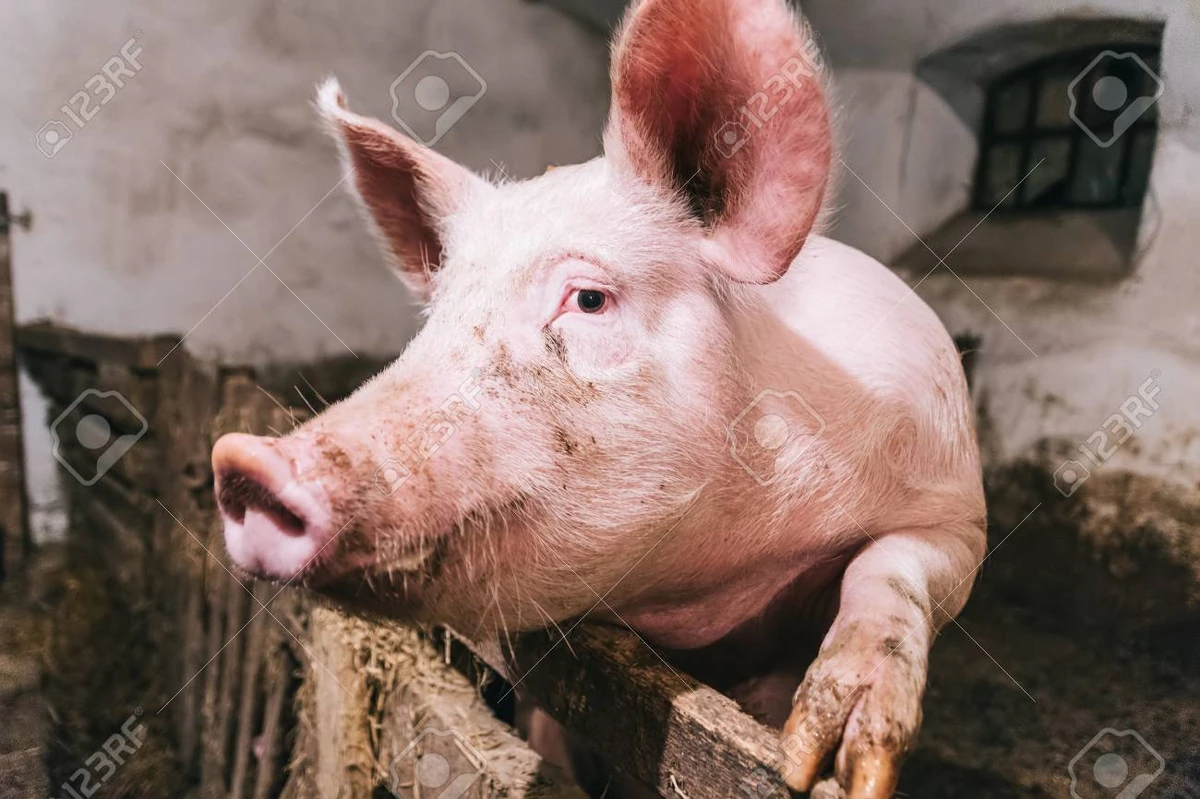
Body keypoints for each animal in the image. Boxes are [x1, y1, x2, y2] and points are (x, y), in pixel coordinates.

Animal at [211, 0, 986, 796]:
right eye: (440, 312)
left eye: (588, 299)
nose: (247, 461)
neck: (715, 573)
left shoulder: (952, 499)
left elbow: (895, 570)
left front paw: (826, 763)